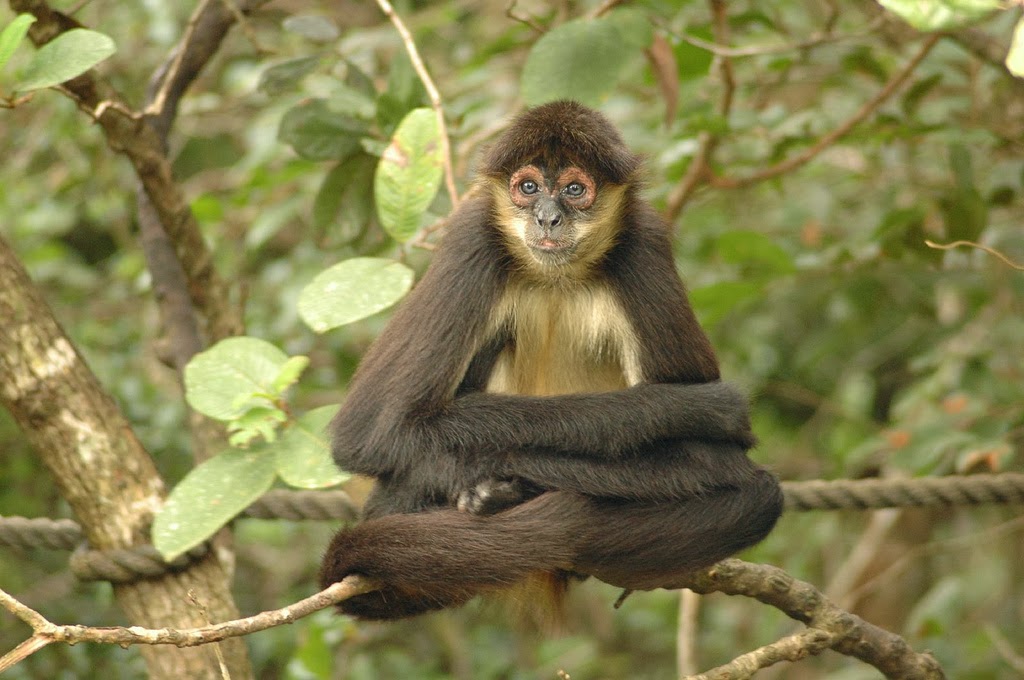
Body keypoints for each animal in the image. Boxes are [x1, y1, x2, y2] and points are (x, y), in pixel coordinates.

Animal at [319, 100, 783, 620]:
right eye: (528, 188)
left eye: (575, 190)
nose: (546, 218)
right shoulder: (471, 235)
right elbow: (372, 431)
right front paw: (689, 409)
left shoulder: (644, 242)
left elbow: (716, 460)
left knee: (757, 497)